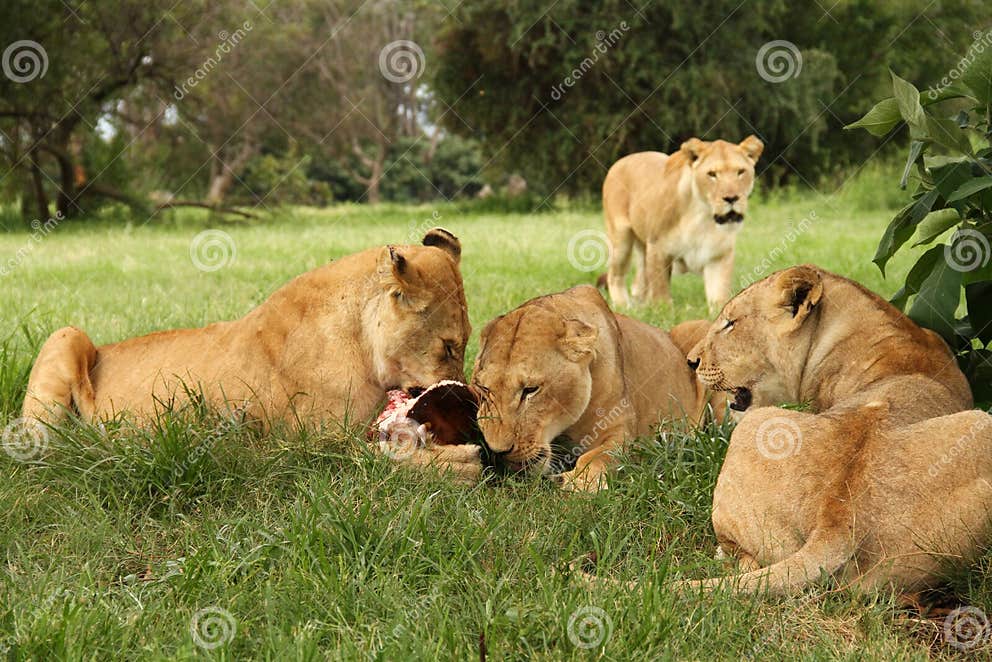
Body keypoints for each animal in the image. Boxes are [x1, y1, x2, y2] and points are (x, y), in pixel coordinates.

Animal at [469, 285, 724, 492]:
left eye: (531, 390)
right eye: (485, 389)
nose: (498, 452)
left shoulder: (621, 430)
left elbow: (598, 457)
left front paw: (579, 482)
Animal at [601, 136, 764, 310]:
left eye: (740, 172)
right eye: (712, 174)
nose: (732, 198)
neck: (703, 216)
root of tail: (621, 161)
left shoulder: (719, 256)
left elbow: (719, 299)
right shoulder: (658, 249)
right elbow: (661, 297)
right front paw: (662, 312)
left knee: (639, 282)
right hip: (621, 240)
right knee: (614, 275)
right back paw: (623, 306)